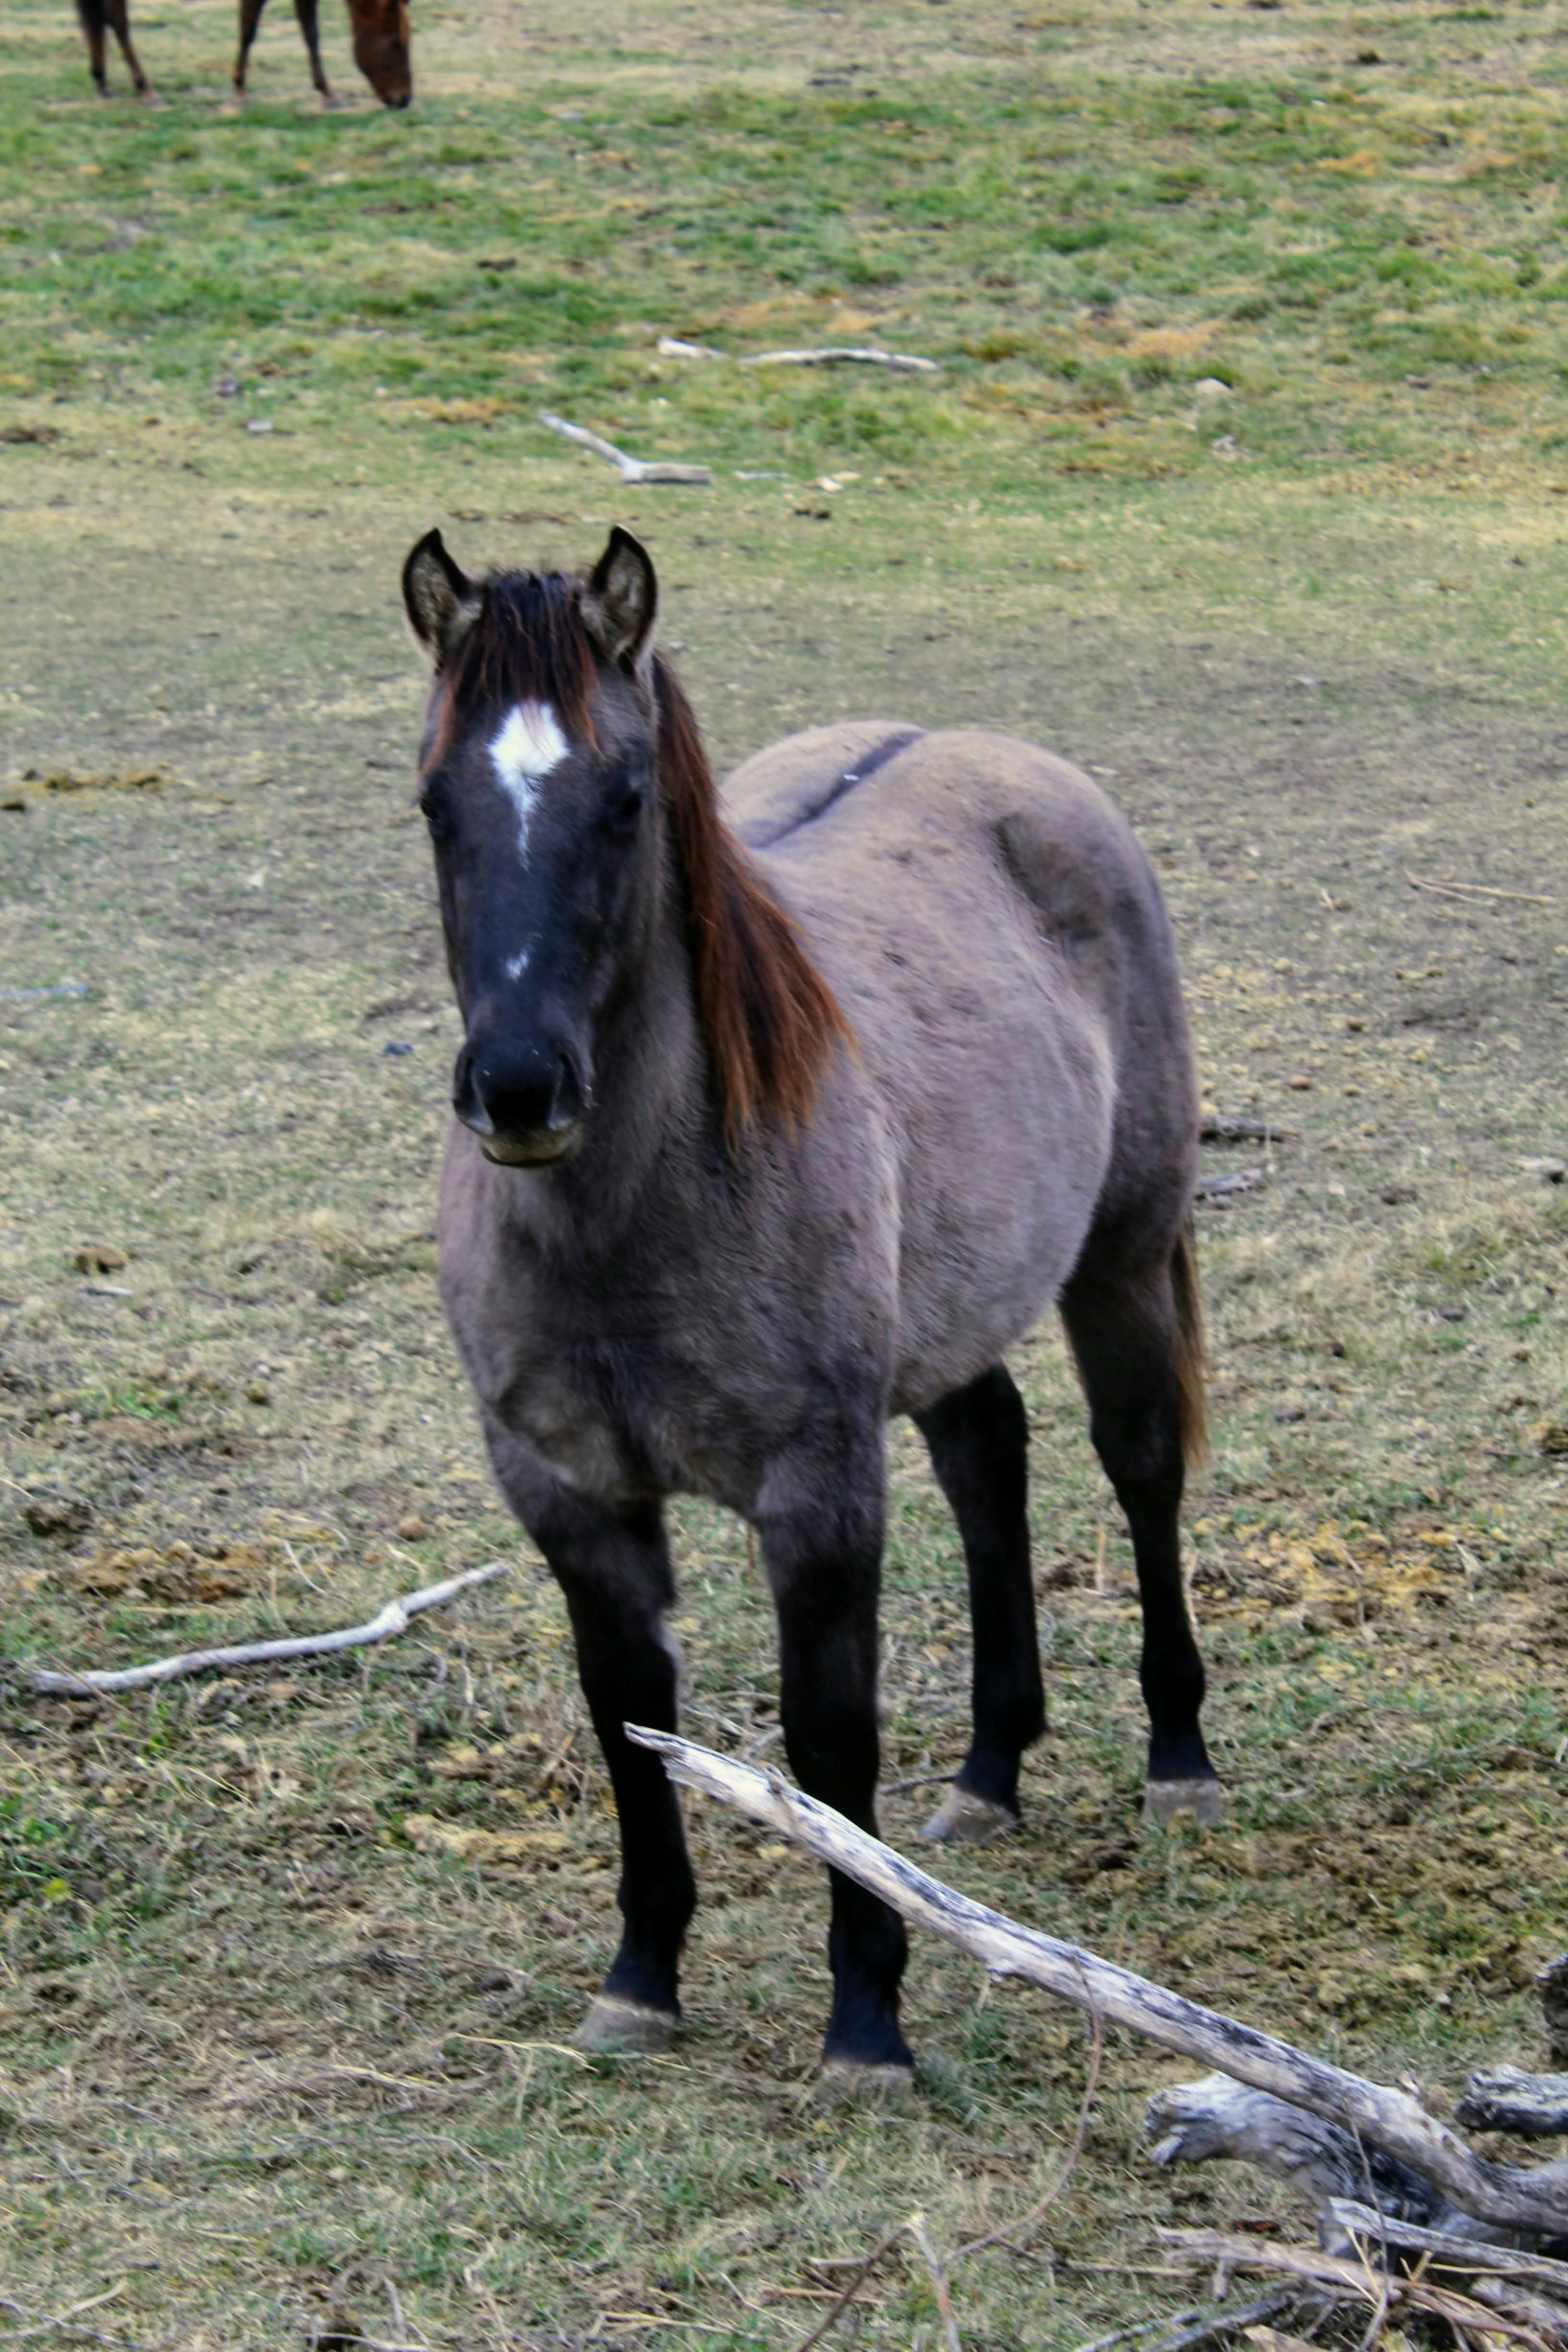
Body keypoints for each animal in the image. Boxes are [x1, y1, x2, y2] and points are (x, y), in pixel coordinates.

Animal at [74, 0, 412, 107]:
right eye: (396, 45)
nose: (404, 99)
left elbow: (308, 32)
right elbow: (250, 28)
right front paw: (240, 88)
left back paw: (102, 81)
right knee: (117, 20)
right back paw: (145, 88)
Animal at [400, 524, 1219, 2085]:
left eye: (626, 796)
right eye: (431, 798)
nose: (521, 1088)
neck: (634, 1225)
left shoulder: (816, 1489)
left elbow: (828, 1745)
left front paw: (864, 2022)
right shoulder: (572, 1498)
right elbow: (630, 1725)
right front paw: (639, 1981)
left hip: (1121, 1258)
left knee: (1140, 1469)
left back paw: (1179, 1762)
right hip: (952, 1314)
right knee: (987, 1459)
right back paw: (987, 1772)